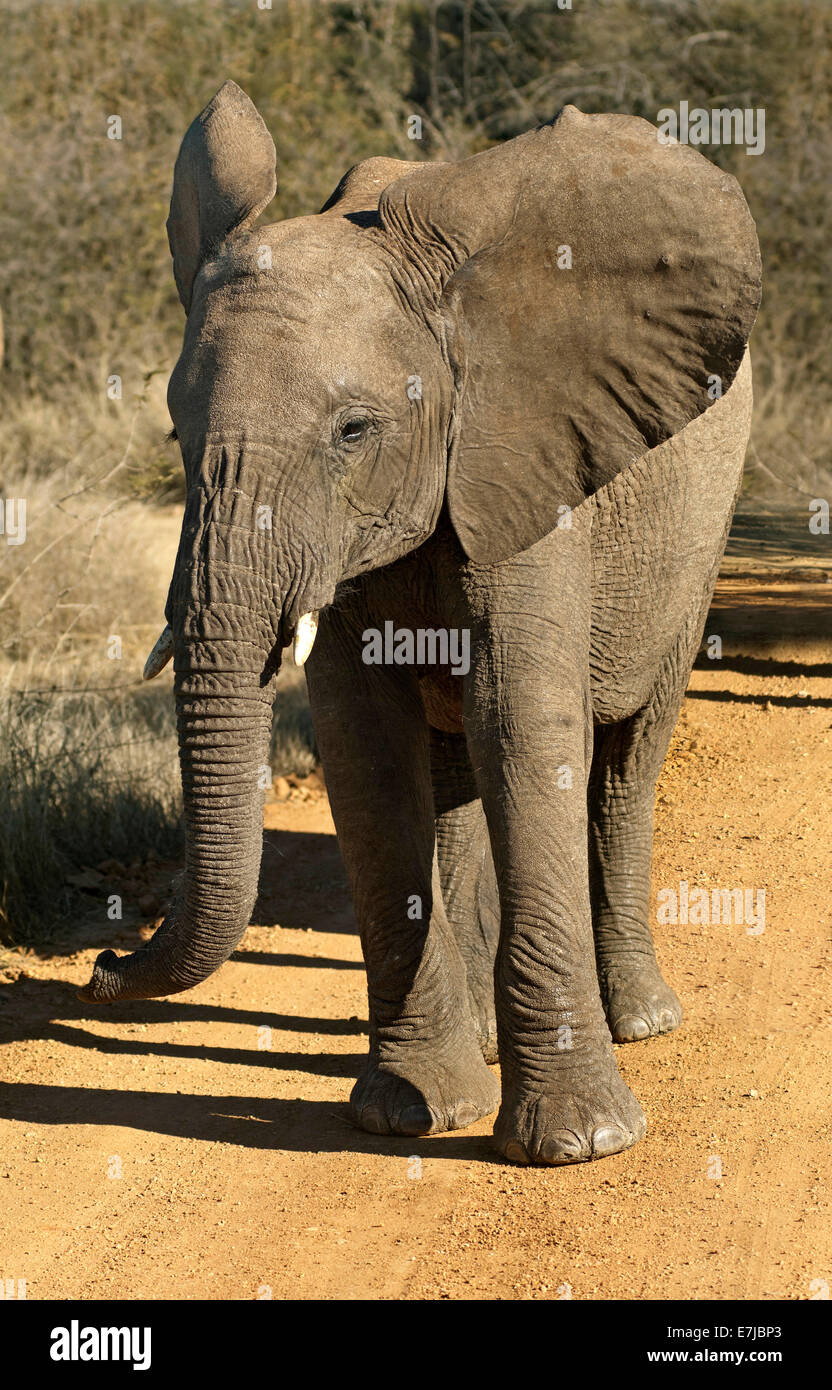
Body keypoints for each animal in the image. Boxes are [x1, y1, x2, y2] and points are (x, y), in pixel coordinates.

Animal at [79, 81, 761, 1166]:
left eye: (354, 431)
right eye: (178, 432)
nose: (103, 959)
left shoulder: (522, 459)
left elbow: (522, 726)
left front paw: (578, 1144)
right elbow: (366, 751)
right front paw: (410, 1113)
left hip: (699, 527)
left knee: (627, 754)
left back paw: (643, 1022)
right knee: (453, 779)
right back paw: (481, 1041)